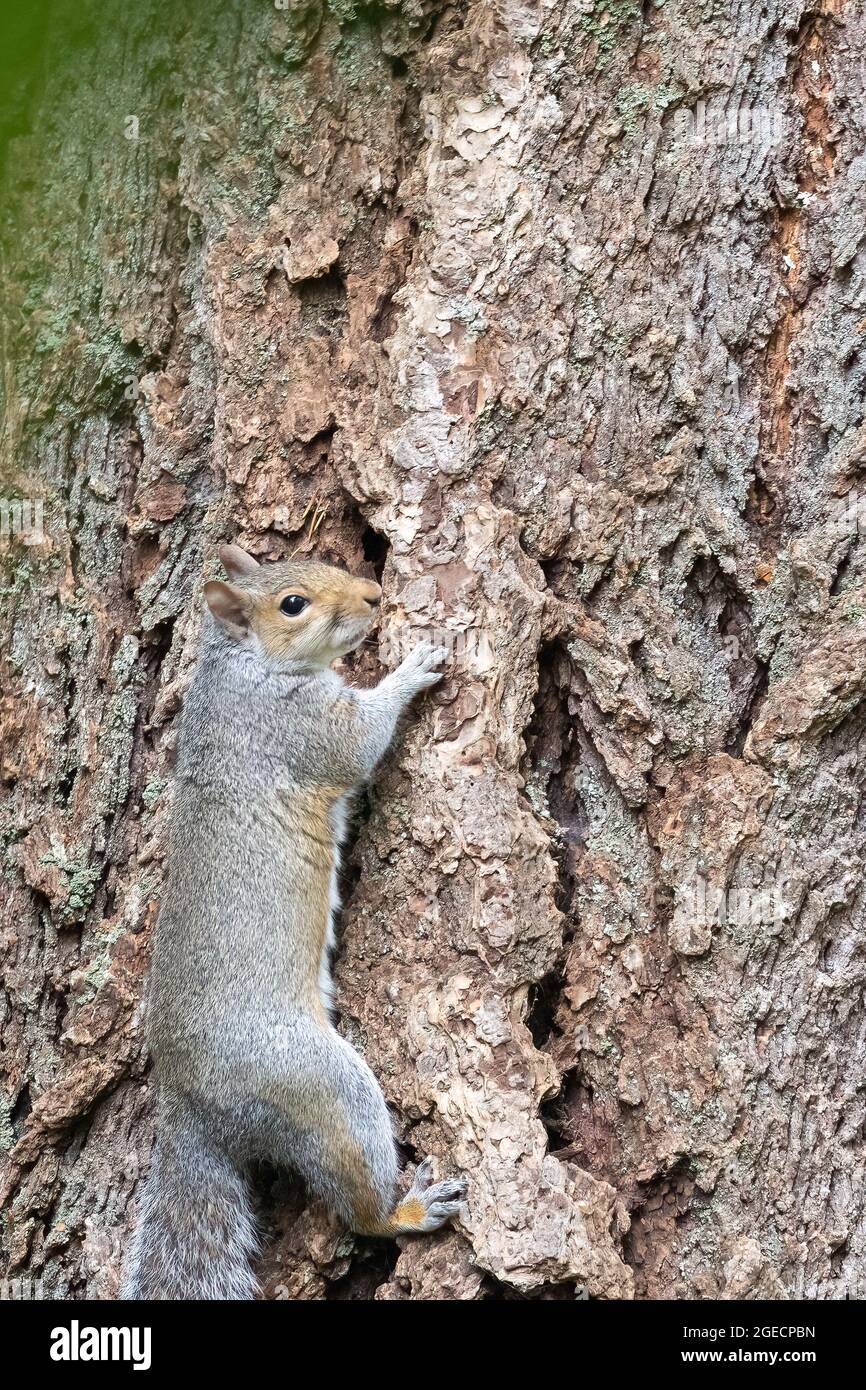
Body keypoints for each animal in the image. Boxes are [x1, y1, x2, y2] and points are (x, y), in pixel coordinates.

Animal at [122, 543, 466, 1300]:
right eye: (292, 604)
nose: (374, 595)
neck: (243, 672)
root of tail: (187, 1101)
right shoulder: (302, 730)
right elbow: (359, 741)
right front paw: (411, 668)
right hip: (315, 1085)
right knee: (356, 1198)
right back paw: (405, 1210)